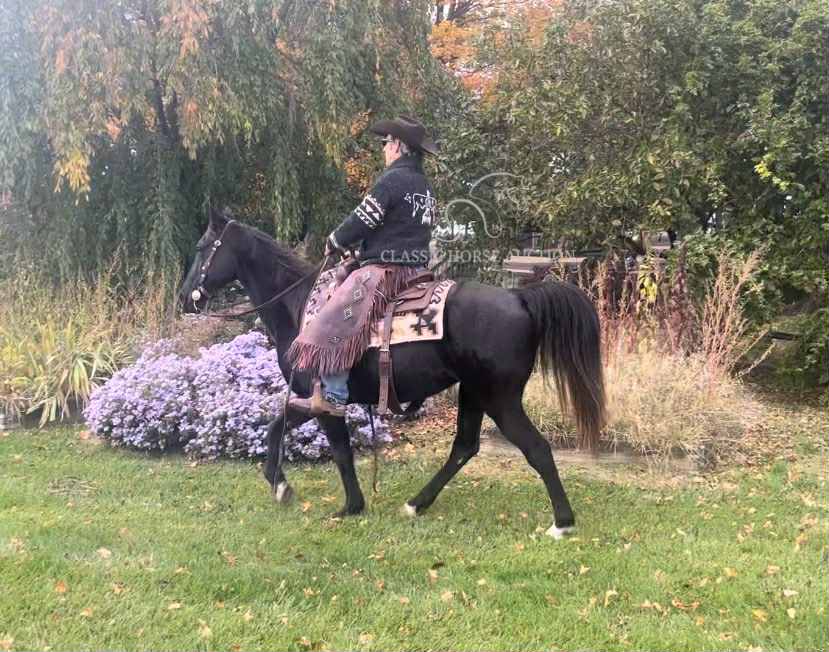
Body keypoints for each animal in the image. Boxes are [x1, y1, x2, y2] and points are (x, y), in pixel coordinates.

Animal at [179, 207, 606, 538]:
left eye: (201, 248)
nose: (184, 298)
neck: (297, 306)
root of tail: (518, 296)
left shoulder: (323, 399)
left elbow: (339, 450)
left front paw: (348, 505)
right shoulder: (308, 398)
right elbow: (275, 427)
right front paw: (283, 486)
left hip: (500, 399)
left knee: (536, 449)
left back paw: (562, 523)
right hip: (473, 393)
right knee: (464, 447)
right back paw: (416, 504)